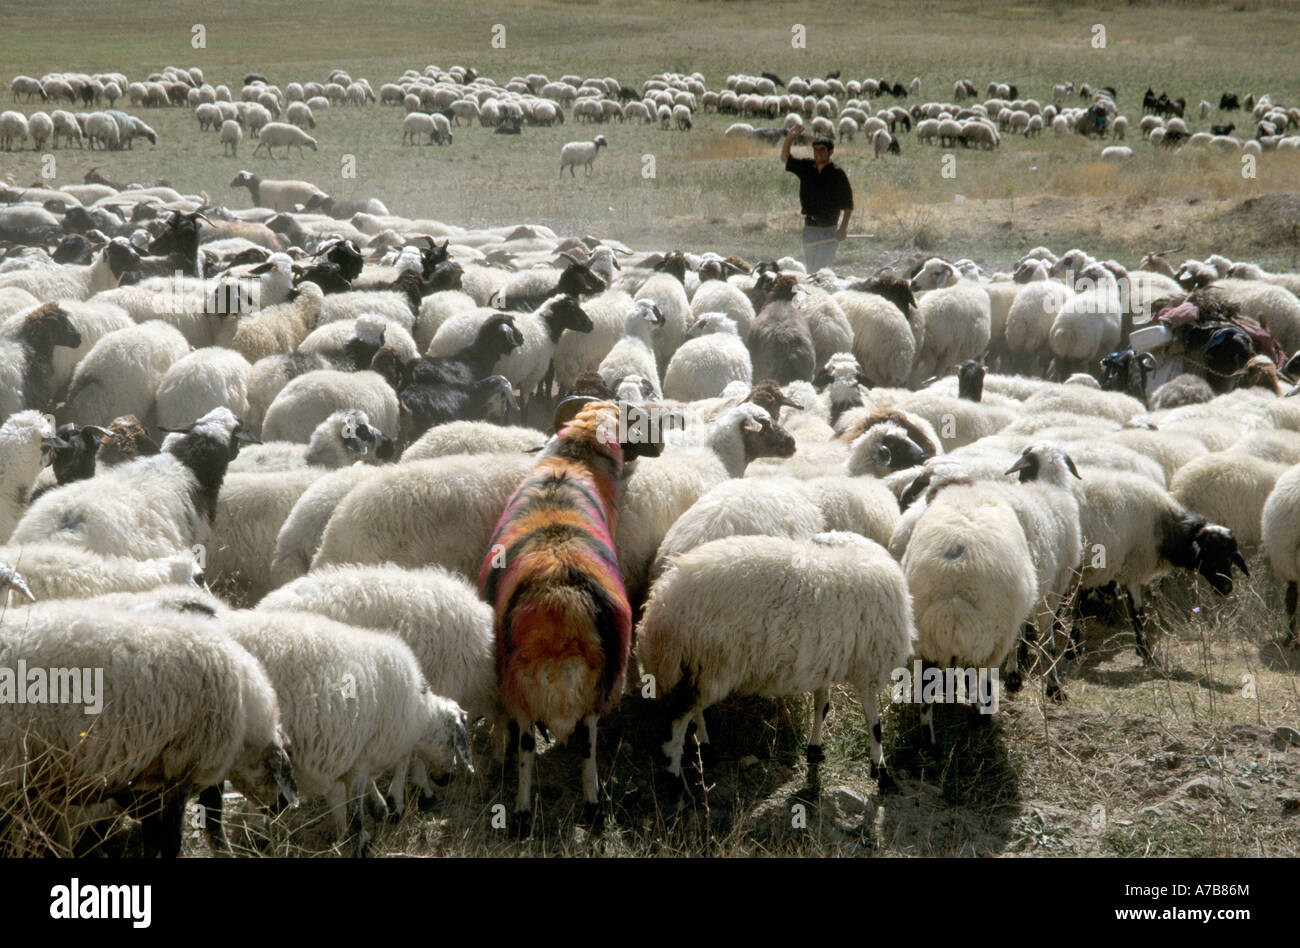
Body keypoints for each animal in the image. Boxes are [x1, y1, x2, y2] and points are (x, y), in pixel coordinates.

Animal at [0, 602, 295, 858]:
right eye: (286, 760)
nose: (288, 805)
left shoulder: (147, 778)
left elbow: (152, 838)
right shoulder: (180, 771)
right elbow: (170, 841)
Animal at [223, 610, 469, 855]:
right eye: (453, 740)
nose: (450, 777)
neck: (418, 715)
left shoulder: (343, 752)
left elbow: (341, 796)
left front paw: (376, 810)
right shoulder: (362, 755)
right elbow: (355, 814)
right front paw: (362, 841)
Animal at [480, 398, 656, 830]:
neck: (571, 463)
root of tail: (561, 603)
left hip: (524, 679)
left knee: (534, 742)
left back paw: (524, 811)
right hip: (592, 681)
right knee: (585, 742)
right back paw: (587, 805)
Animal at [639, 532, 914, 796]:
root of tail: (659, 607)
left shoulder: (823, 659)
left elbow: (822, 705)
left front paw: (815, 749)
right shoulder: (869, 666)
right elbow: (874, 724)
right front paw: (882, 773)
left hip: (697, 667)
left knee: (691, 712)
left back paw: (705, 748)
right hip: (712, 663)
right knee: (675, 721)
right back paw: (676, 784)